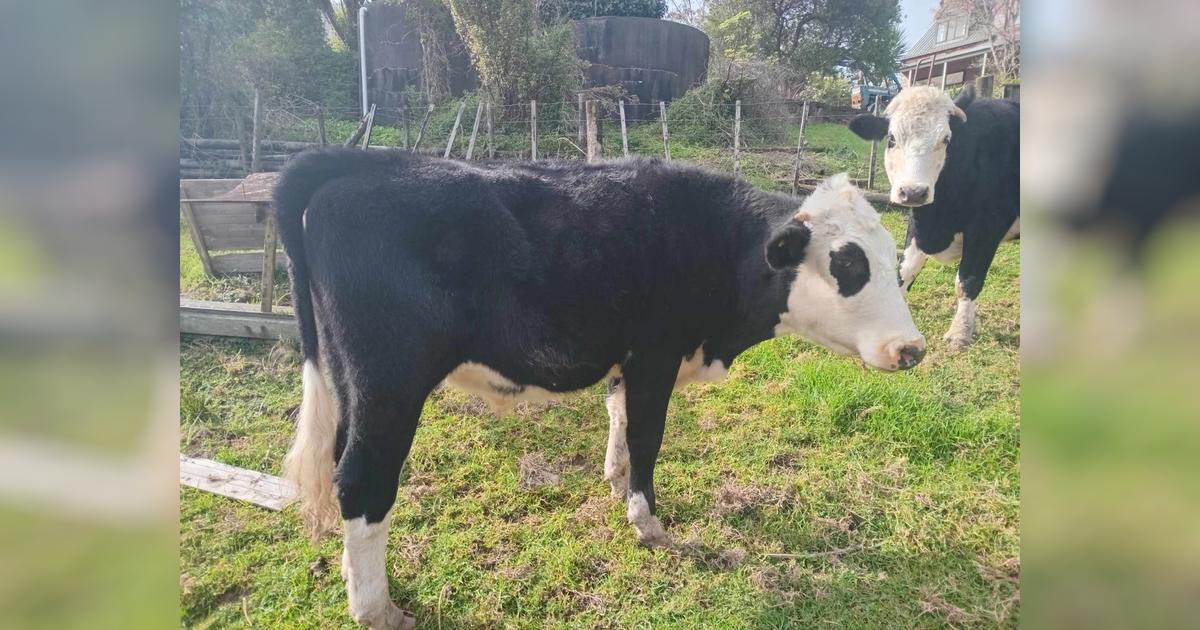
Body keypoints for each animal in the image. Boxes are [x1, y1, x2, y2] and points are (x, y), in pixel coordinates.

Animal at [273, 148, 926, 629]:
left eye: (892, 259)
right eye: (848, 264)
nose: (912, 349)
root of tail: (358, 163)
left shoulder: (626, 360)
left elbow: (618, 419)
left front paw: (614, 484)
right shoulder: (655, 355)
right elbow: (647, 436)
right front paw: (647, 523)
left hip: (349, 382)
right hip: (389, 381)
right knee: (362, 478)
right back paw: (377, 609)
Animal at [849, 85, 1020, 349]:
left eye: (946, 139)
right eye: (891, 139)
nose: (913, 192)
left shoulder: (986, 227)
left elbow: (968, 280)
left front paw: (960, 332)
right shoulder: (918, 221)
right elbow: (904, 270)